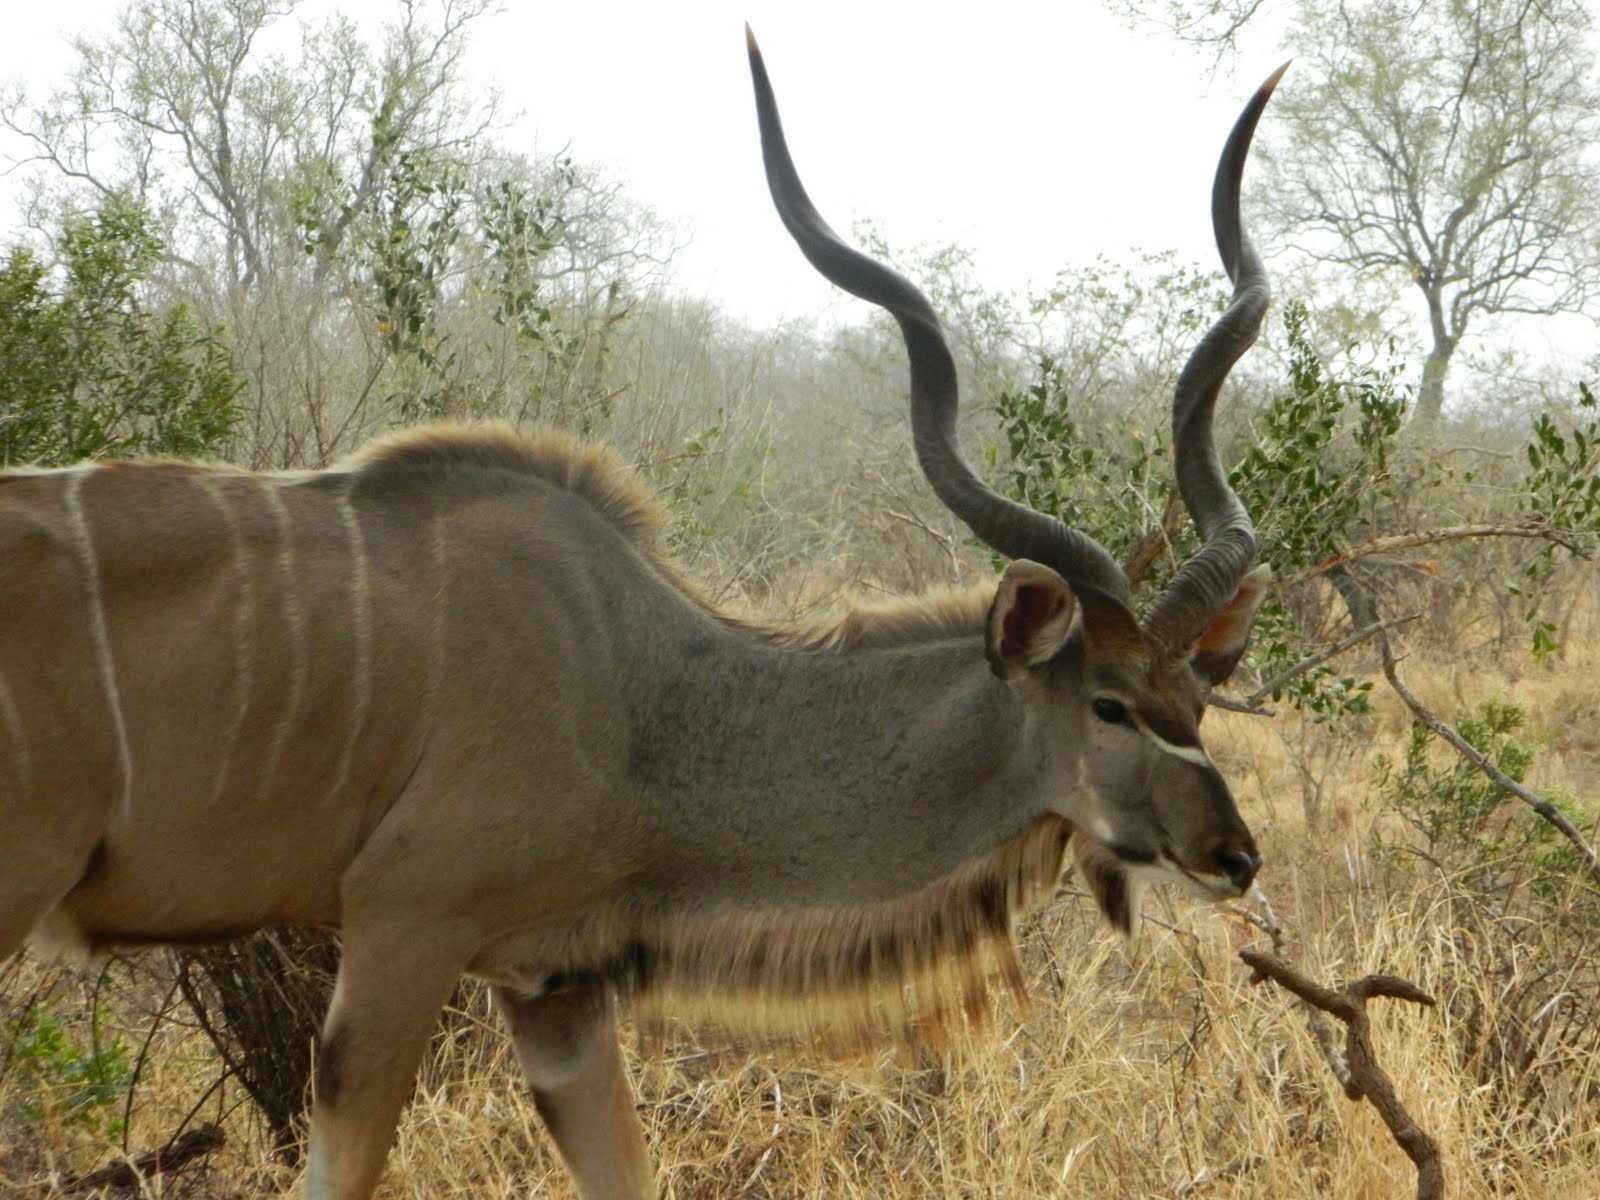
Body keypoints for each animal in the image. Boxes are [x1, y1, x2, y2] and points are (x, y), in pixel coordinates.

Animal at [0, 28, 1284, 1200]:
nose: (1233, 854)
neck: (644, 689)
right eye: (1110, 705)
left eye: (1197, 697)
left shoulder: (554, 988)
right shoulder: (402, 927)